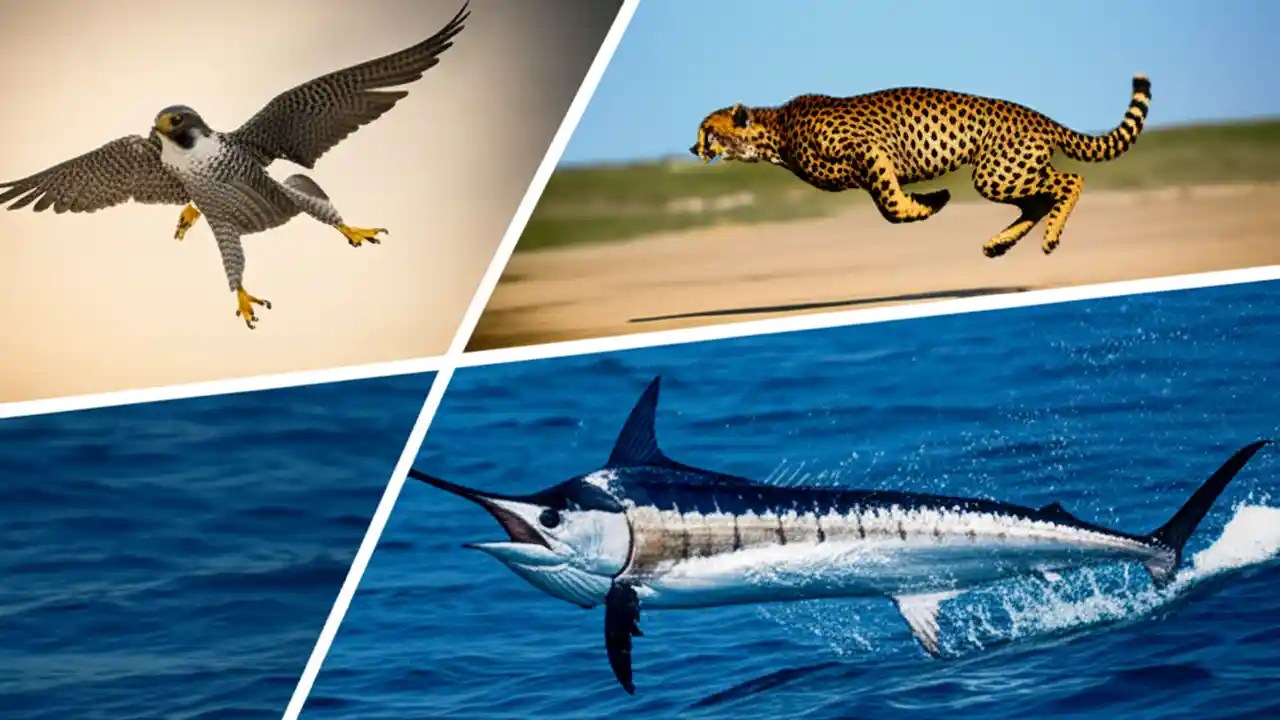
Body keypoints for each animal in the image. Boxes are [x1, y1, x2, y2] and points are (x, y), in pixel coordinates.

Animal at [690, 75, 1151, 257]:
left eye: (707, 131)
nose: (693, 148)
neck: (777, 131)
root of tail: (1038, 115)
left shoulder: (869, 152)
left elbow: (891, 207)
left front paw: (928, 203)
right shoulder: (865, 170)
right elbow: (886, 204)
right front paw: (932, 200)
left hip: (996, 173)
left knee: (1070, 179)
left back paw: (1051, 235)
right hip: (1005, 174)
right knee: (1039, 199)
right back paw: (998, 244)